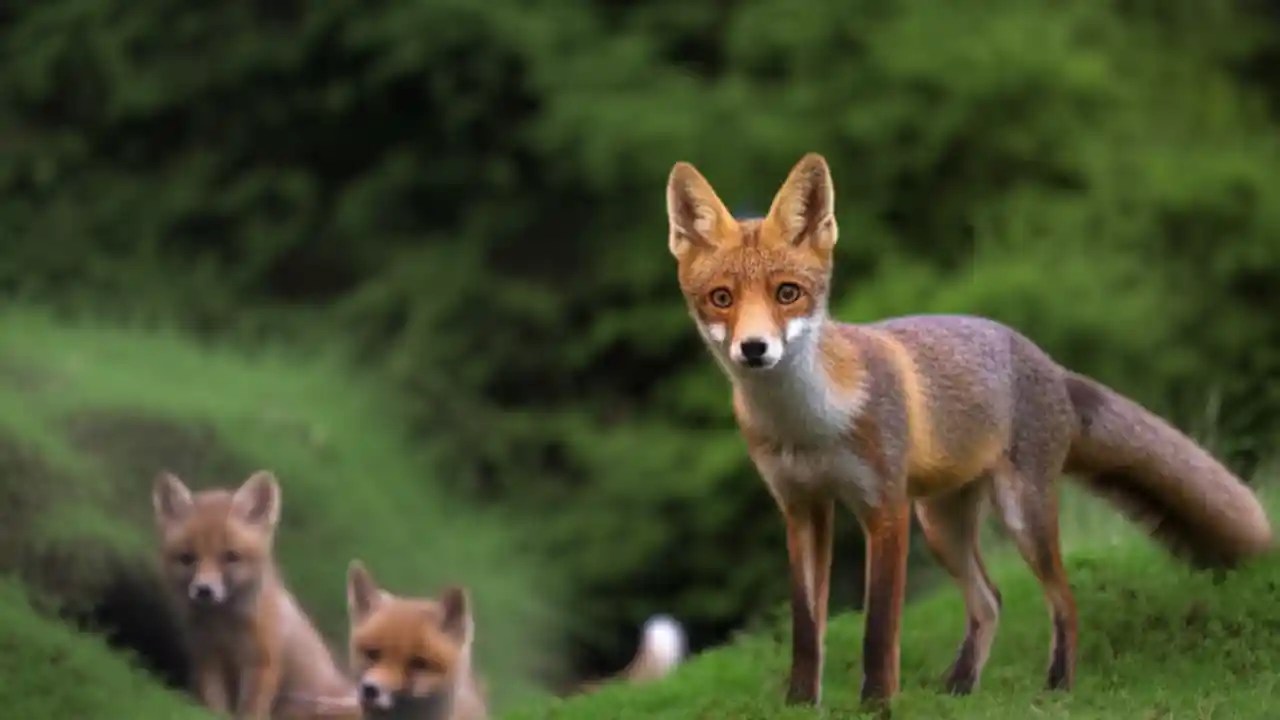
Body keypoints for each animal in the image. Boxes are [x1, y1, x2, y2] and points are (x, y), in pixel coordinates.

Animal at [152, 470, 360, 719]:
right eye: (187, 558)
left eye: (231, 557)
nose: (204, 590)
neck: (225, 627)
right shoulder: (209, 658)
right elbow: (215, 707)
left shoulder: (261, 663)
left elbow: (250, 710)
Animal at [664, 152, 1273, 706]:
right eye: (721, 299)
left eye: (787, 293)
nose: (754, 349)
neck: (809, 425)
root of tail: (1048, 364)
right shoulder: (802, 509)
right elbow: (805, 631)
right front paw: (799, 705)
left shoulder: (884, 508)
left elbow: (878, 629)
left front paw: (878, 705)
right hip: (942, 525)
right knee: (990, 600)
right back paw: (961, 687)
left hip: (1020, 516)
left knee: (1064, 601)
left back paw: (1058, 688)